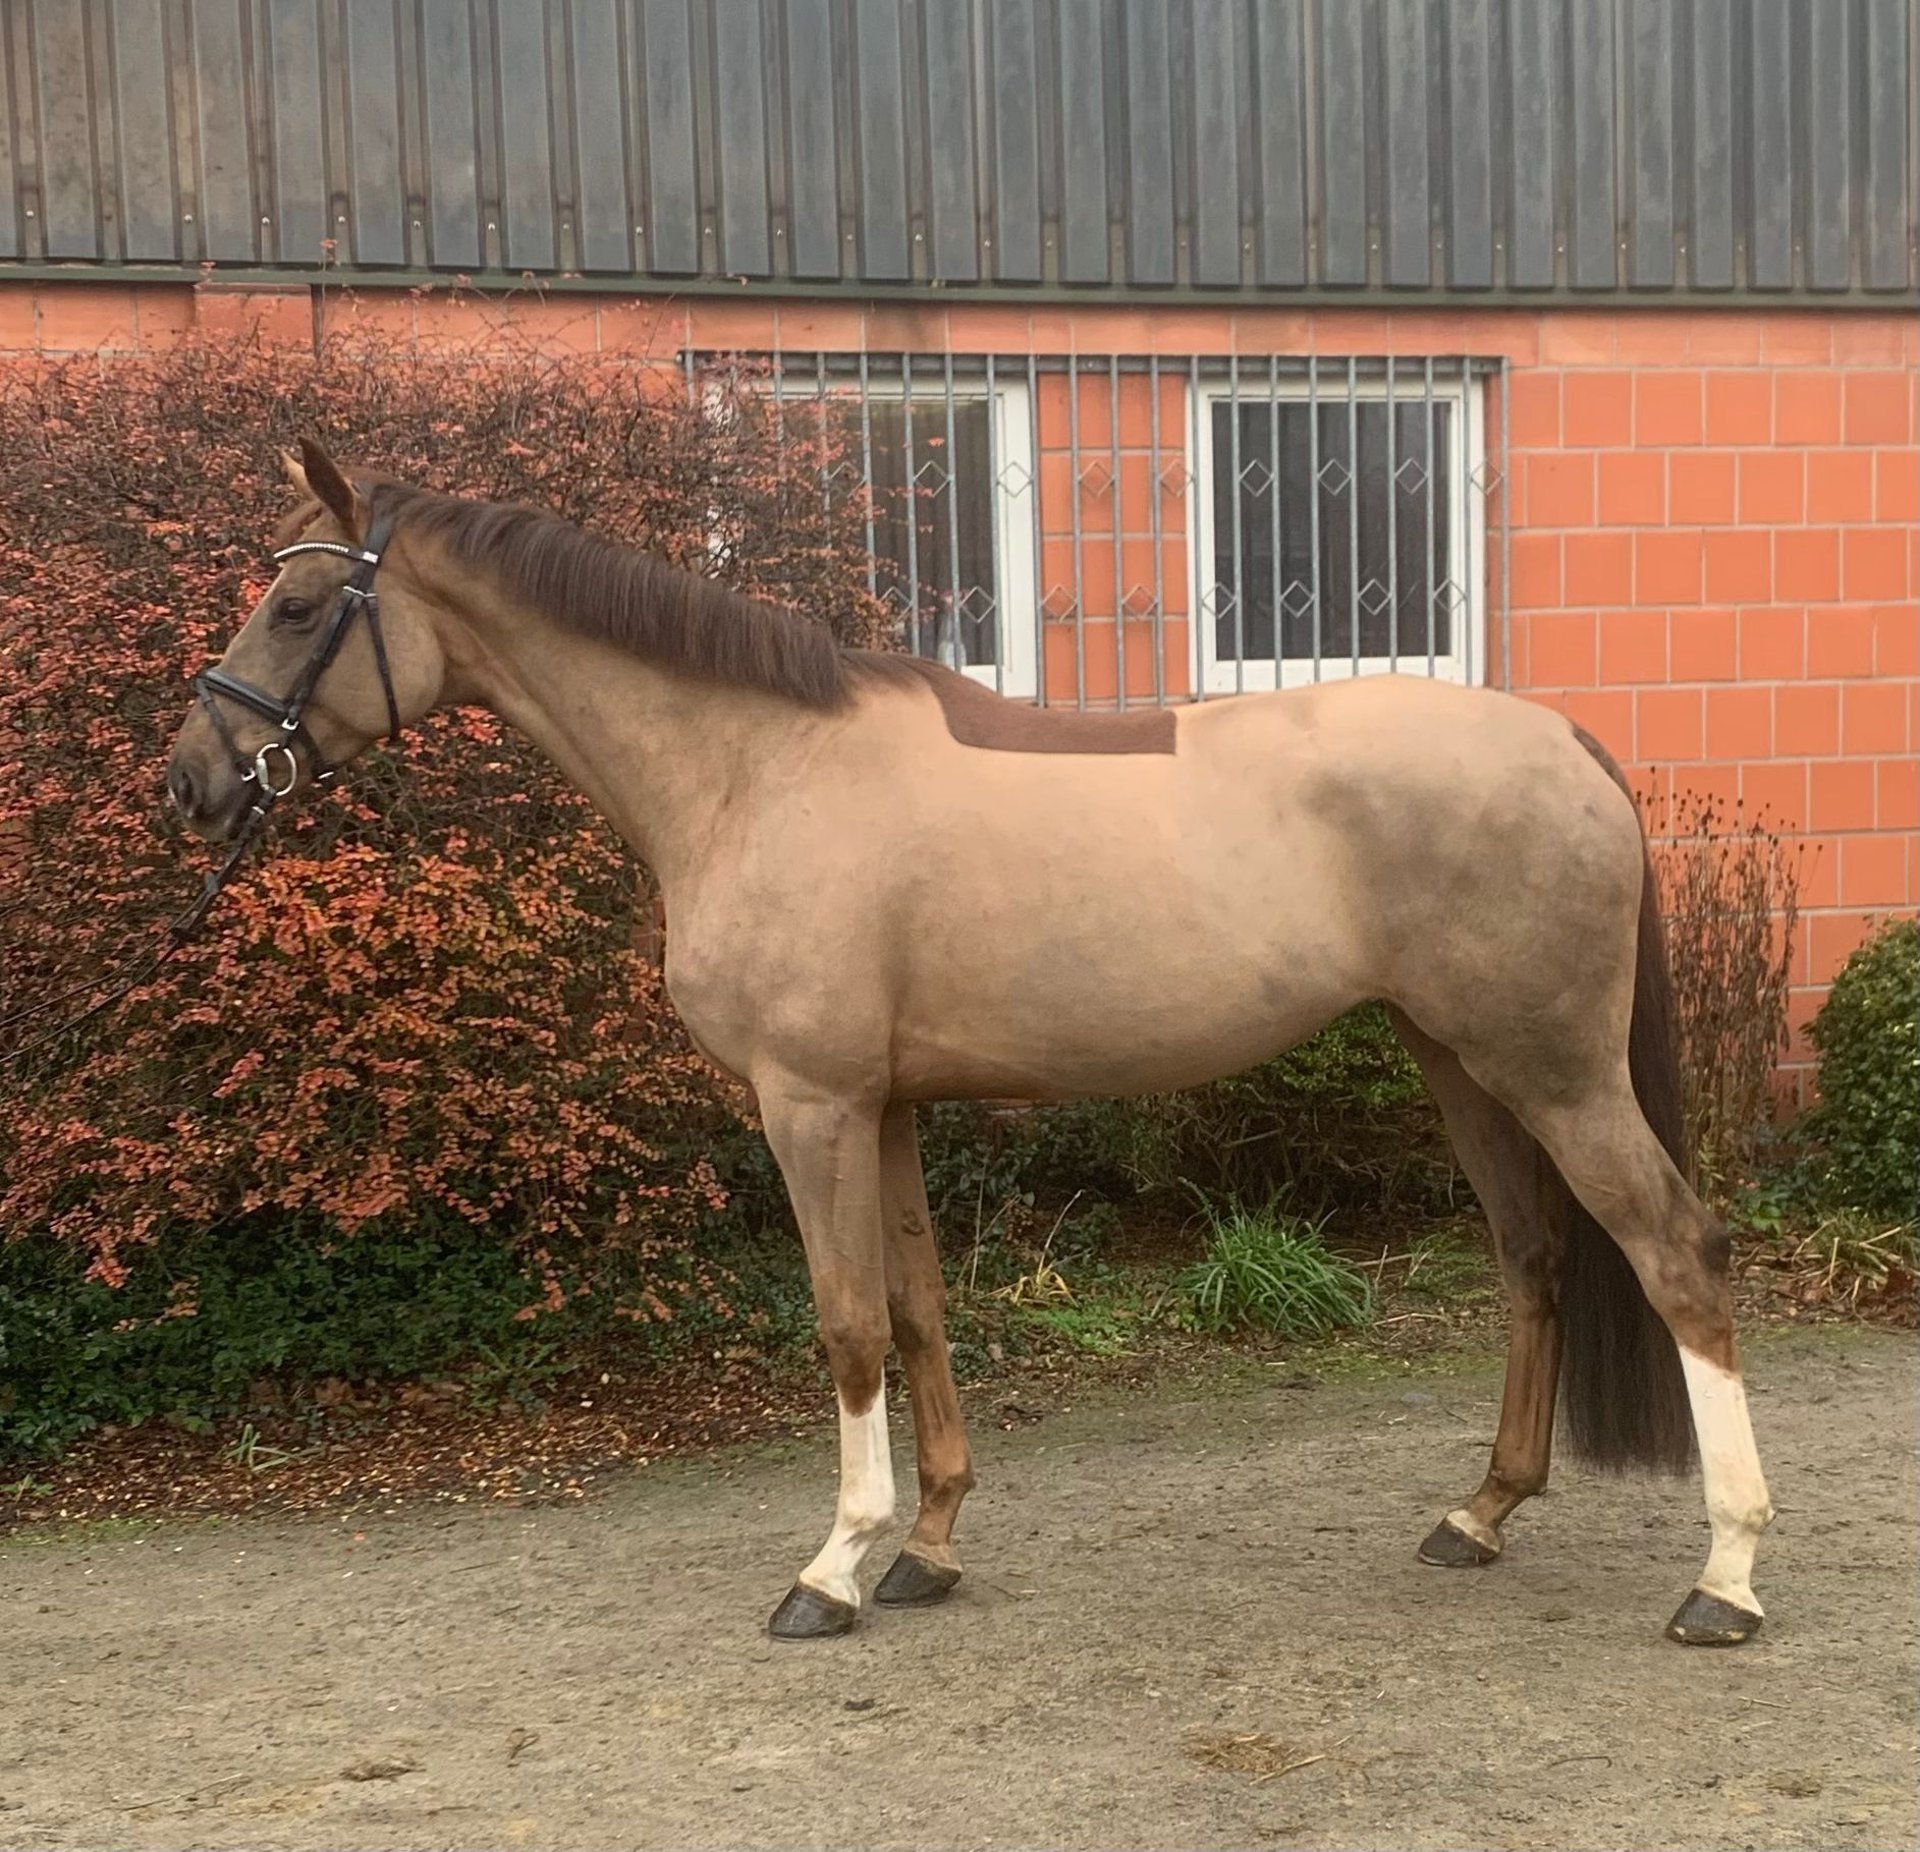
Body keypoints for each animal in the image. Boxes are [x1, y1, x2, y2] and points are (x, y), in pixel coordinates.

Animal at [165, 439, 1773, 1648]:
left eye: (298, 610)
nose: (190, 780)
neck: (755, 770)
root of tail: (1562, 741)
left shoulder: (808, 1104)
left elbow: (846, 1324)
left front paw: (831, 1568)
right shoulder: (882, 1108)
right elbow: (922, 1310)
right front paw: (927, 1547)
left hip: (1553, 1071)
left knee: (1676, 1253)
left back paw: (1727, 1577)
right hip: (1462, 1063)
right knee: (1536, 1258)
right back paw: (1478, 1514)